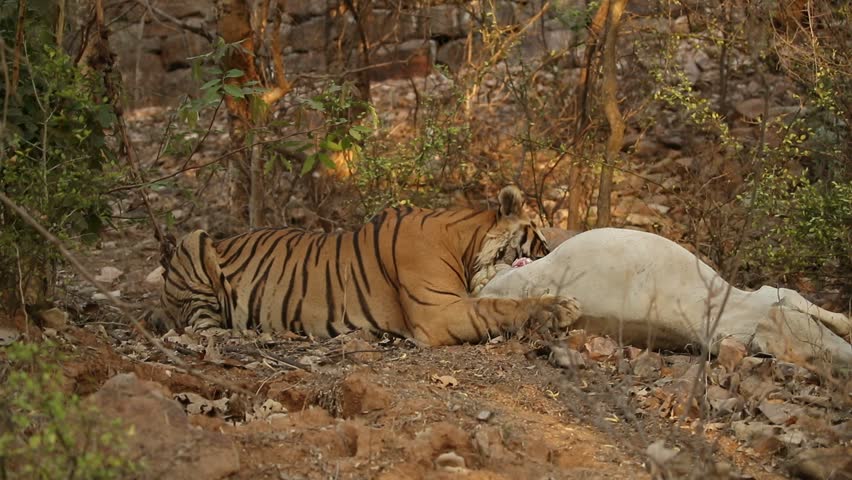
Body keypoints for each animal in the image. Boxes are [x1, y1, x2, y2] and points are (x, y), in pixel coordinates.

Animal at [153, 186, 581, 346]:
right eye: (542, 245)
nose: (552, 254)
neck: (463, 243)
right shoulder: (439, 311)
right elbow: (501, 305)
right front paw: (562, 307)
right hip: (194, 243)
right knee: (202, 329)